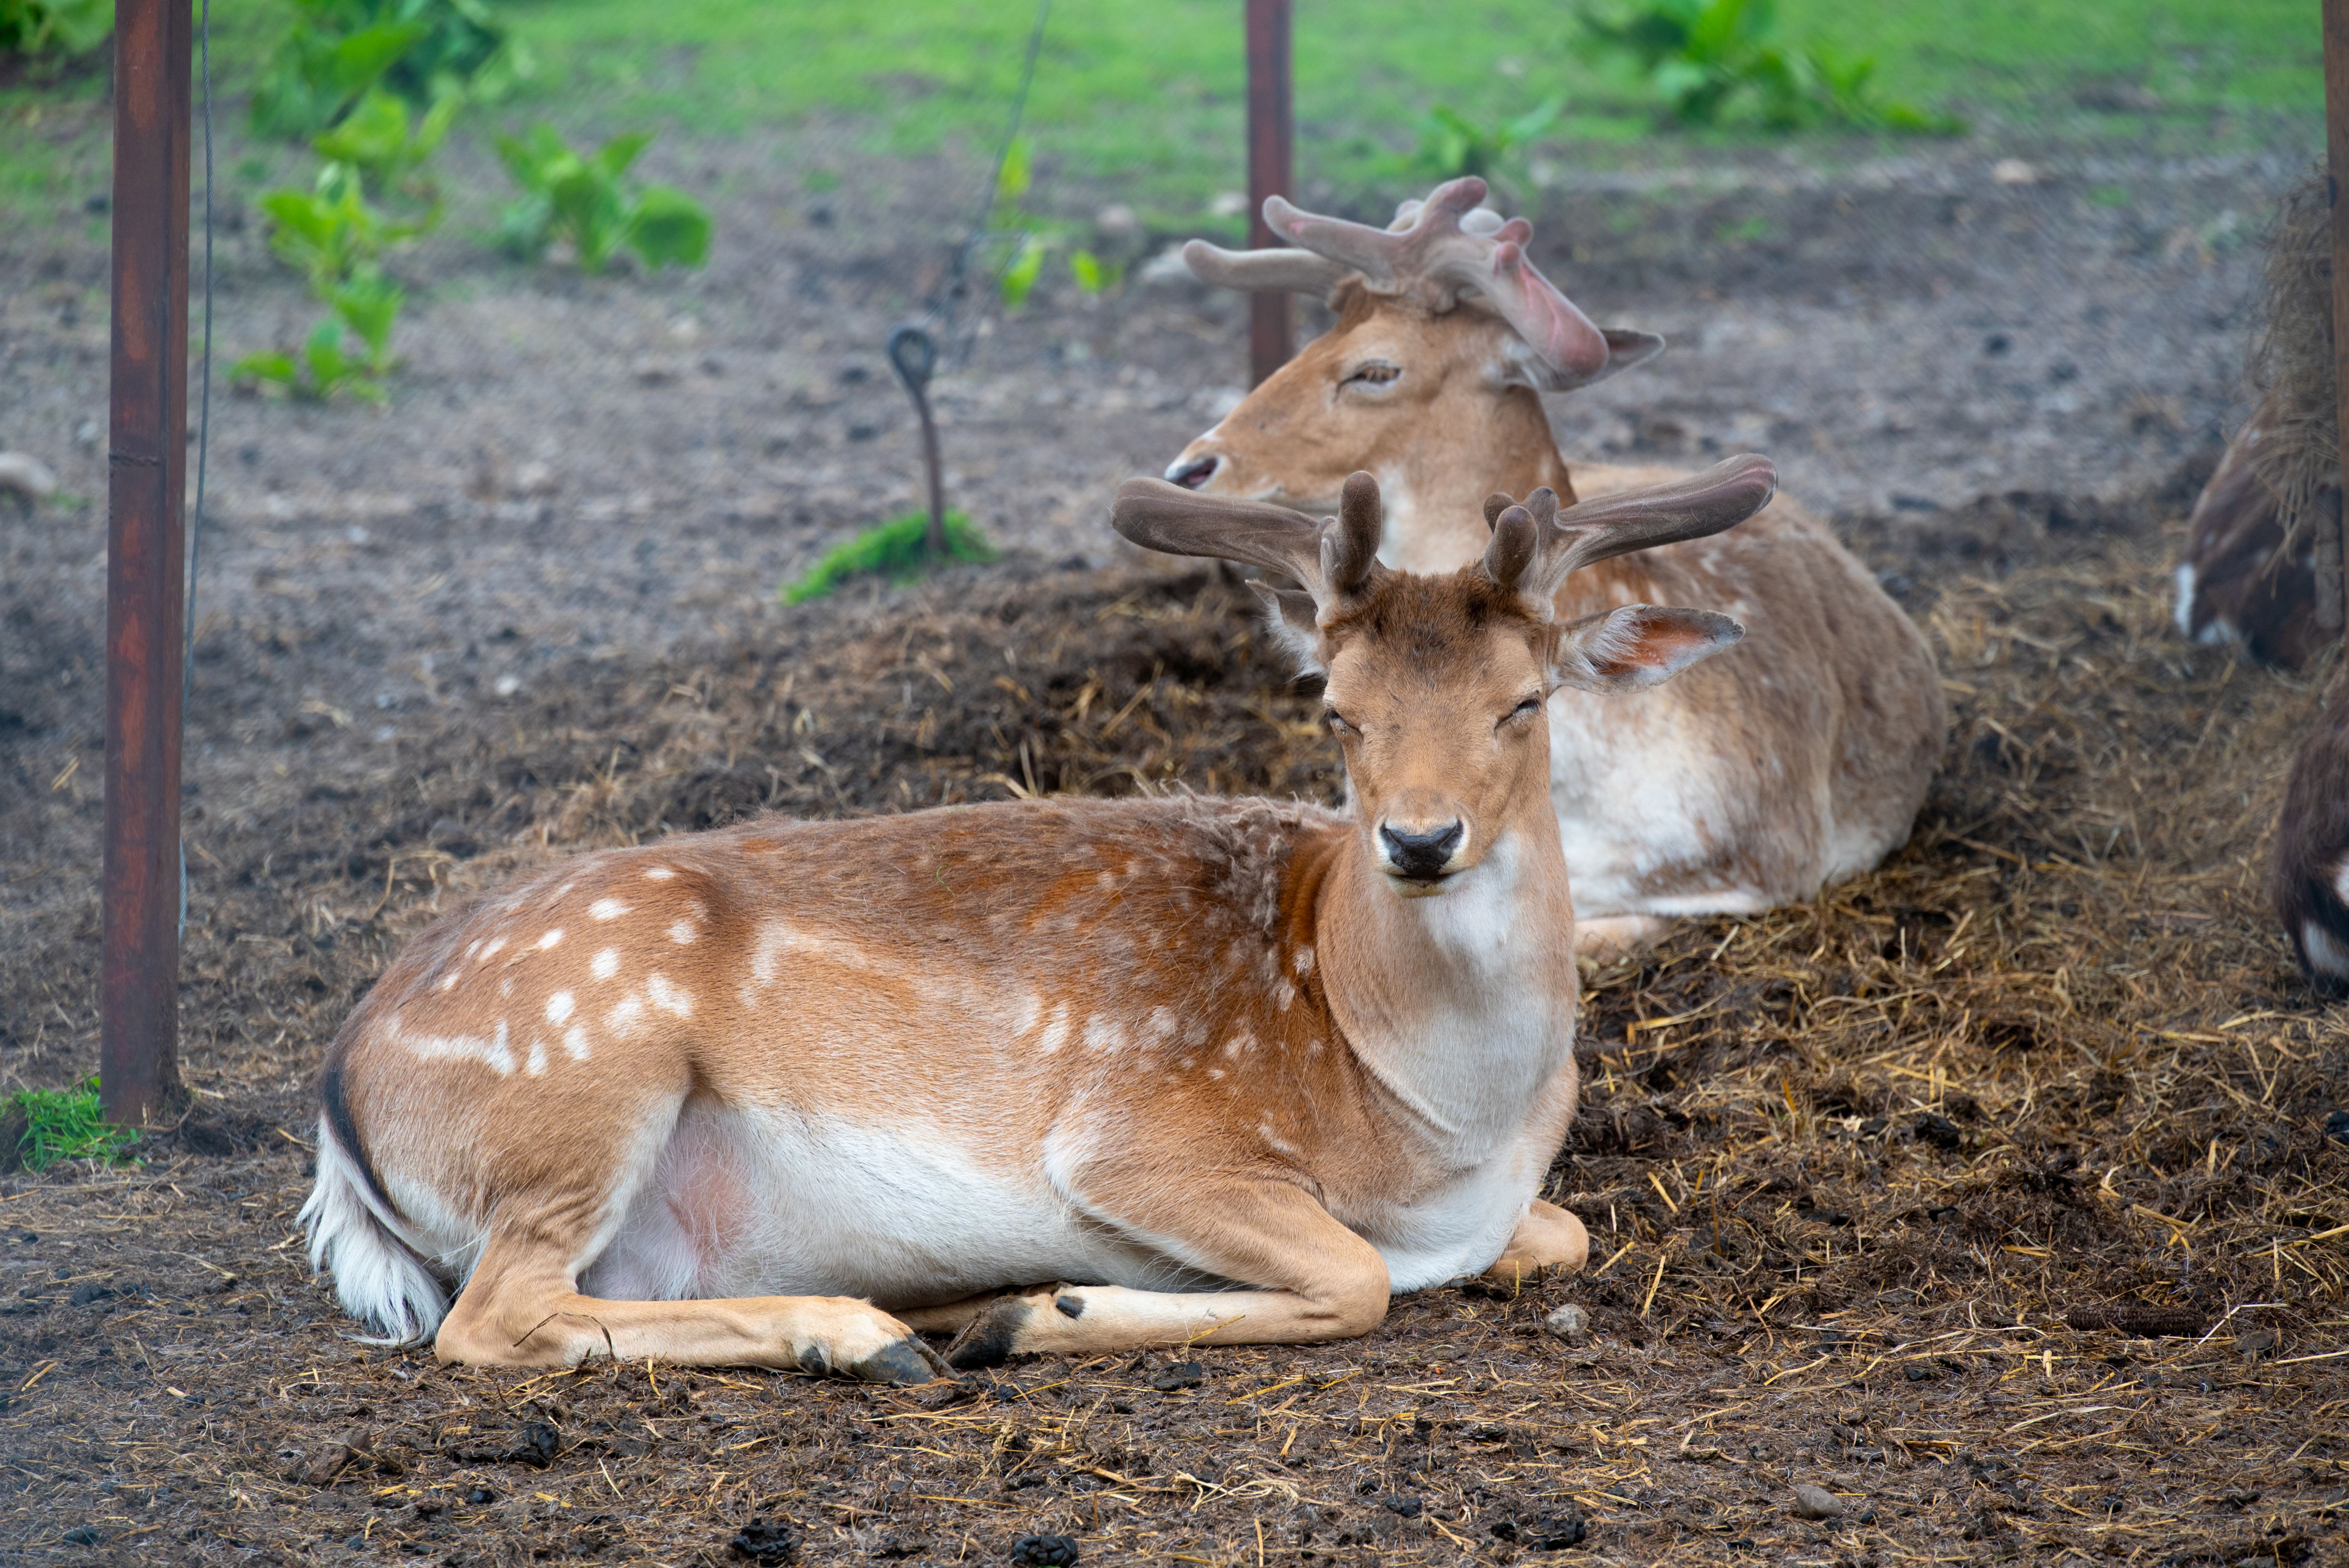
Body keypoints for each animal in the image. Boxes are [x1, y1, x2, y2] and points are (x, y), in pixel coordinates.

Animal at [299, 456, 1775, 1379]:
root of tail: (340, 1091)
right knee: (489, 1317)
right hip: (586, 1075)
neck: (1433, 1118)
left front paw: (1022, 1306)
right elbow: (1355, 1276)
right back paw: (875, 1332)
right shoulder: (1138, 1141)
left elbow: (1558, 1233)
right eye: (1337, 708)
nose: (1419, 839)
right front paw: (1041, 1314)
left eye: (1525, 701)